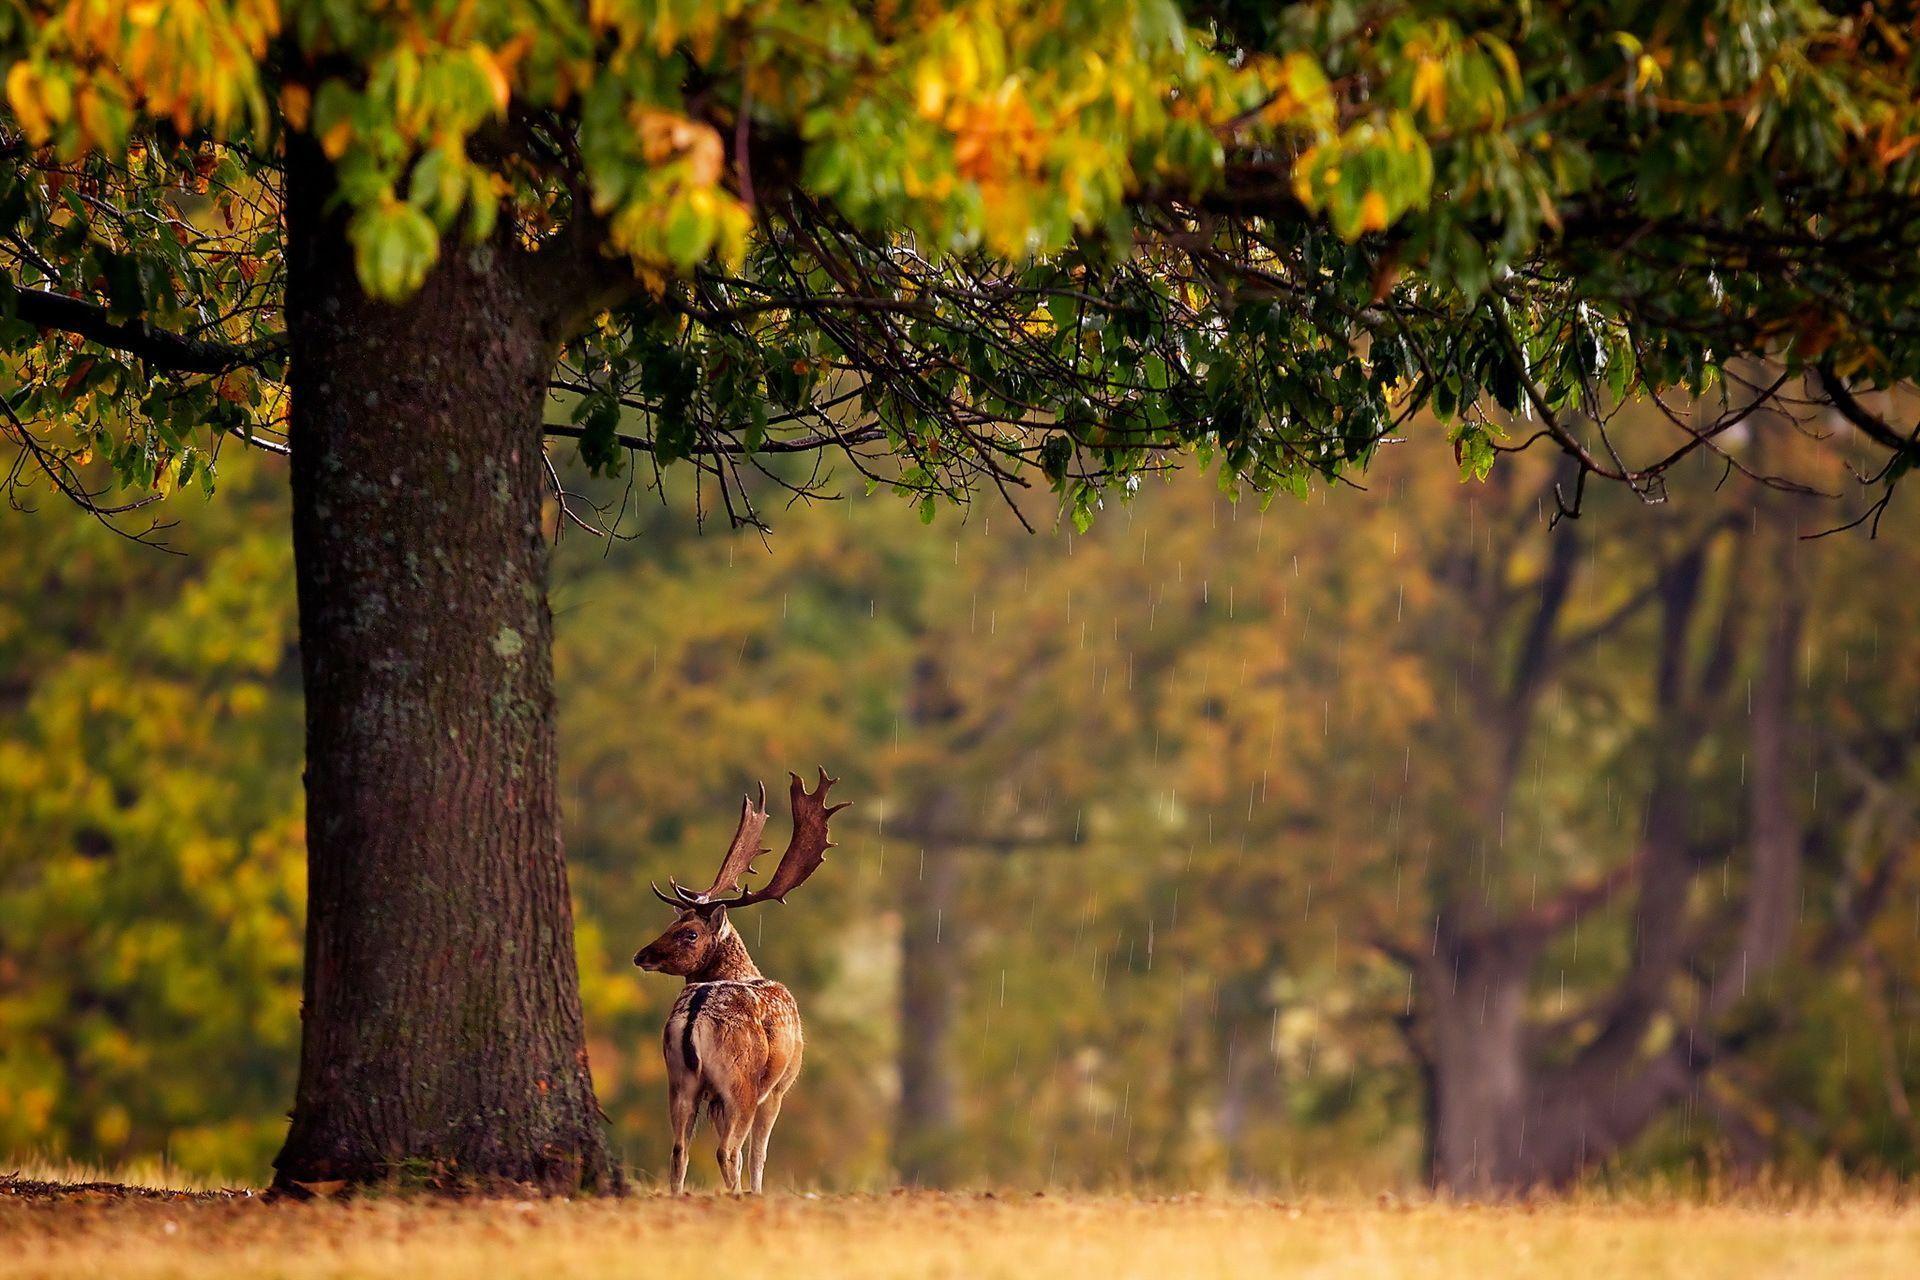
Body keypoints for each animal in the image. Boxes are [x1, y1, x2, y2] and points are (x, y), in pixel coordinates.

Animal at [632, 768, 846, 1194]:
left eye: (687, 932)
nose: (641, 956)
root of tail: (693, 1019)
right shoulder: (779, 1087)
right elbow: (759, 1155)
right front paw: (758, 1191)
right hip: (739, 1084)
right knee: (728, 1151)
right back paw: (735, 1195)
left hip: (679, 1079)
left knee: (678, 1149)